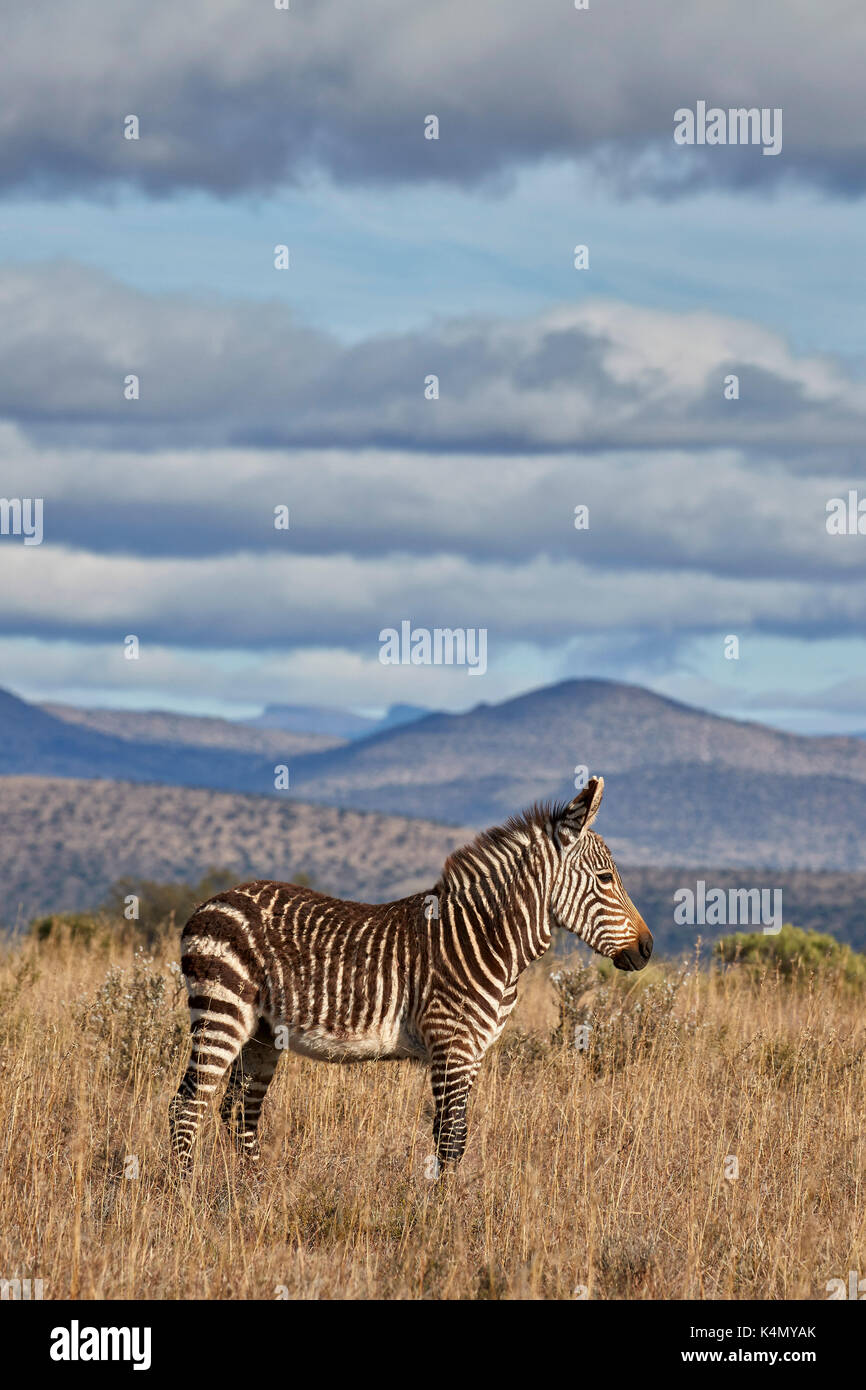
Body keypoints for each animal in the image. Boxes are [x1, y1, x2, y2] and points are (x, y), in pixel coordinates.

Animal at [169, 776, 652, 1174]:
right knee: (186, 1107)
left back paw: (252, 1194)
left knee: (239, 1111)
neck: (484, 938)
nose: (647, 950)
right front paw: (442, 1219)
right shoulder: (452, 1046)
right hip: (223, 1011)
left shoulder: (473, 1052)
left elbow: (453, 1138)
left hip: (263, 1032)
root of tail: (209, 903)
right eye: (605, 878)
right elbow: (450, 1141)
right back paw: (185, 1196)